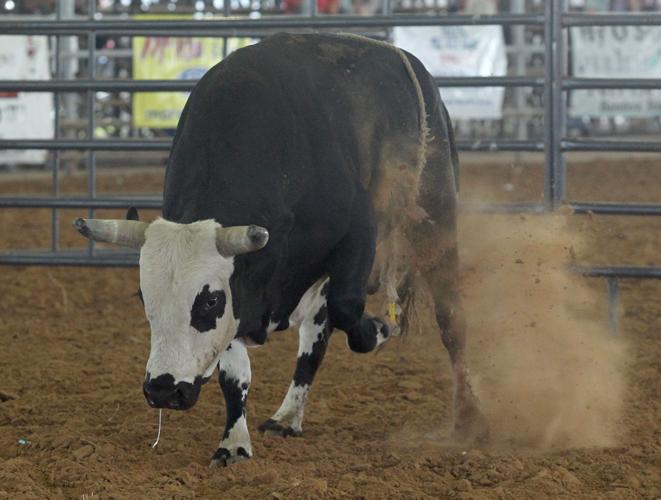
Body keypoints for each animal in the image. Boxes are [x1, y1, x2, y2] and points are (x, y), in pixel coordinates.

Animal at [74, 33, 488, 466]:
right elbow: (235, 374)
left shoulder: (356, 230)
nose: (163, 390)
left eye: (208, 302)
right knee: (315, 338)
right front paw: (234, 443)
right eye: (143, 297)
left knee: (449, 321)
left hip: (436, 223)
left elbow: (347, 307)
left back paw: (468, 418)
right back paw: (288, 416)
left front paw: (377, 330)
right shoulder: (243, 289)